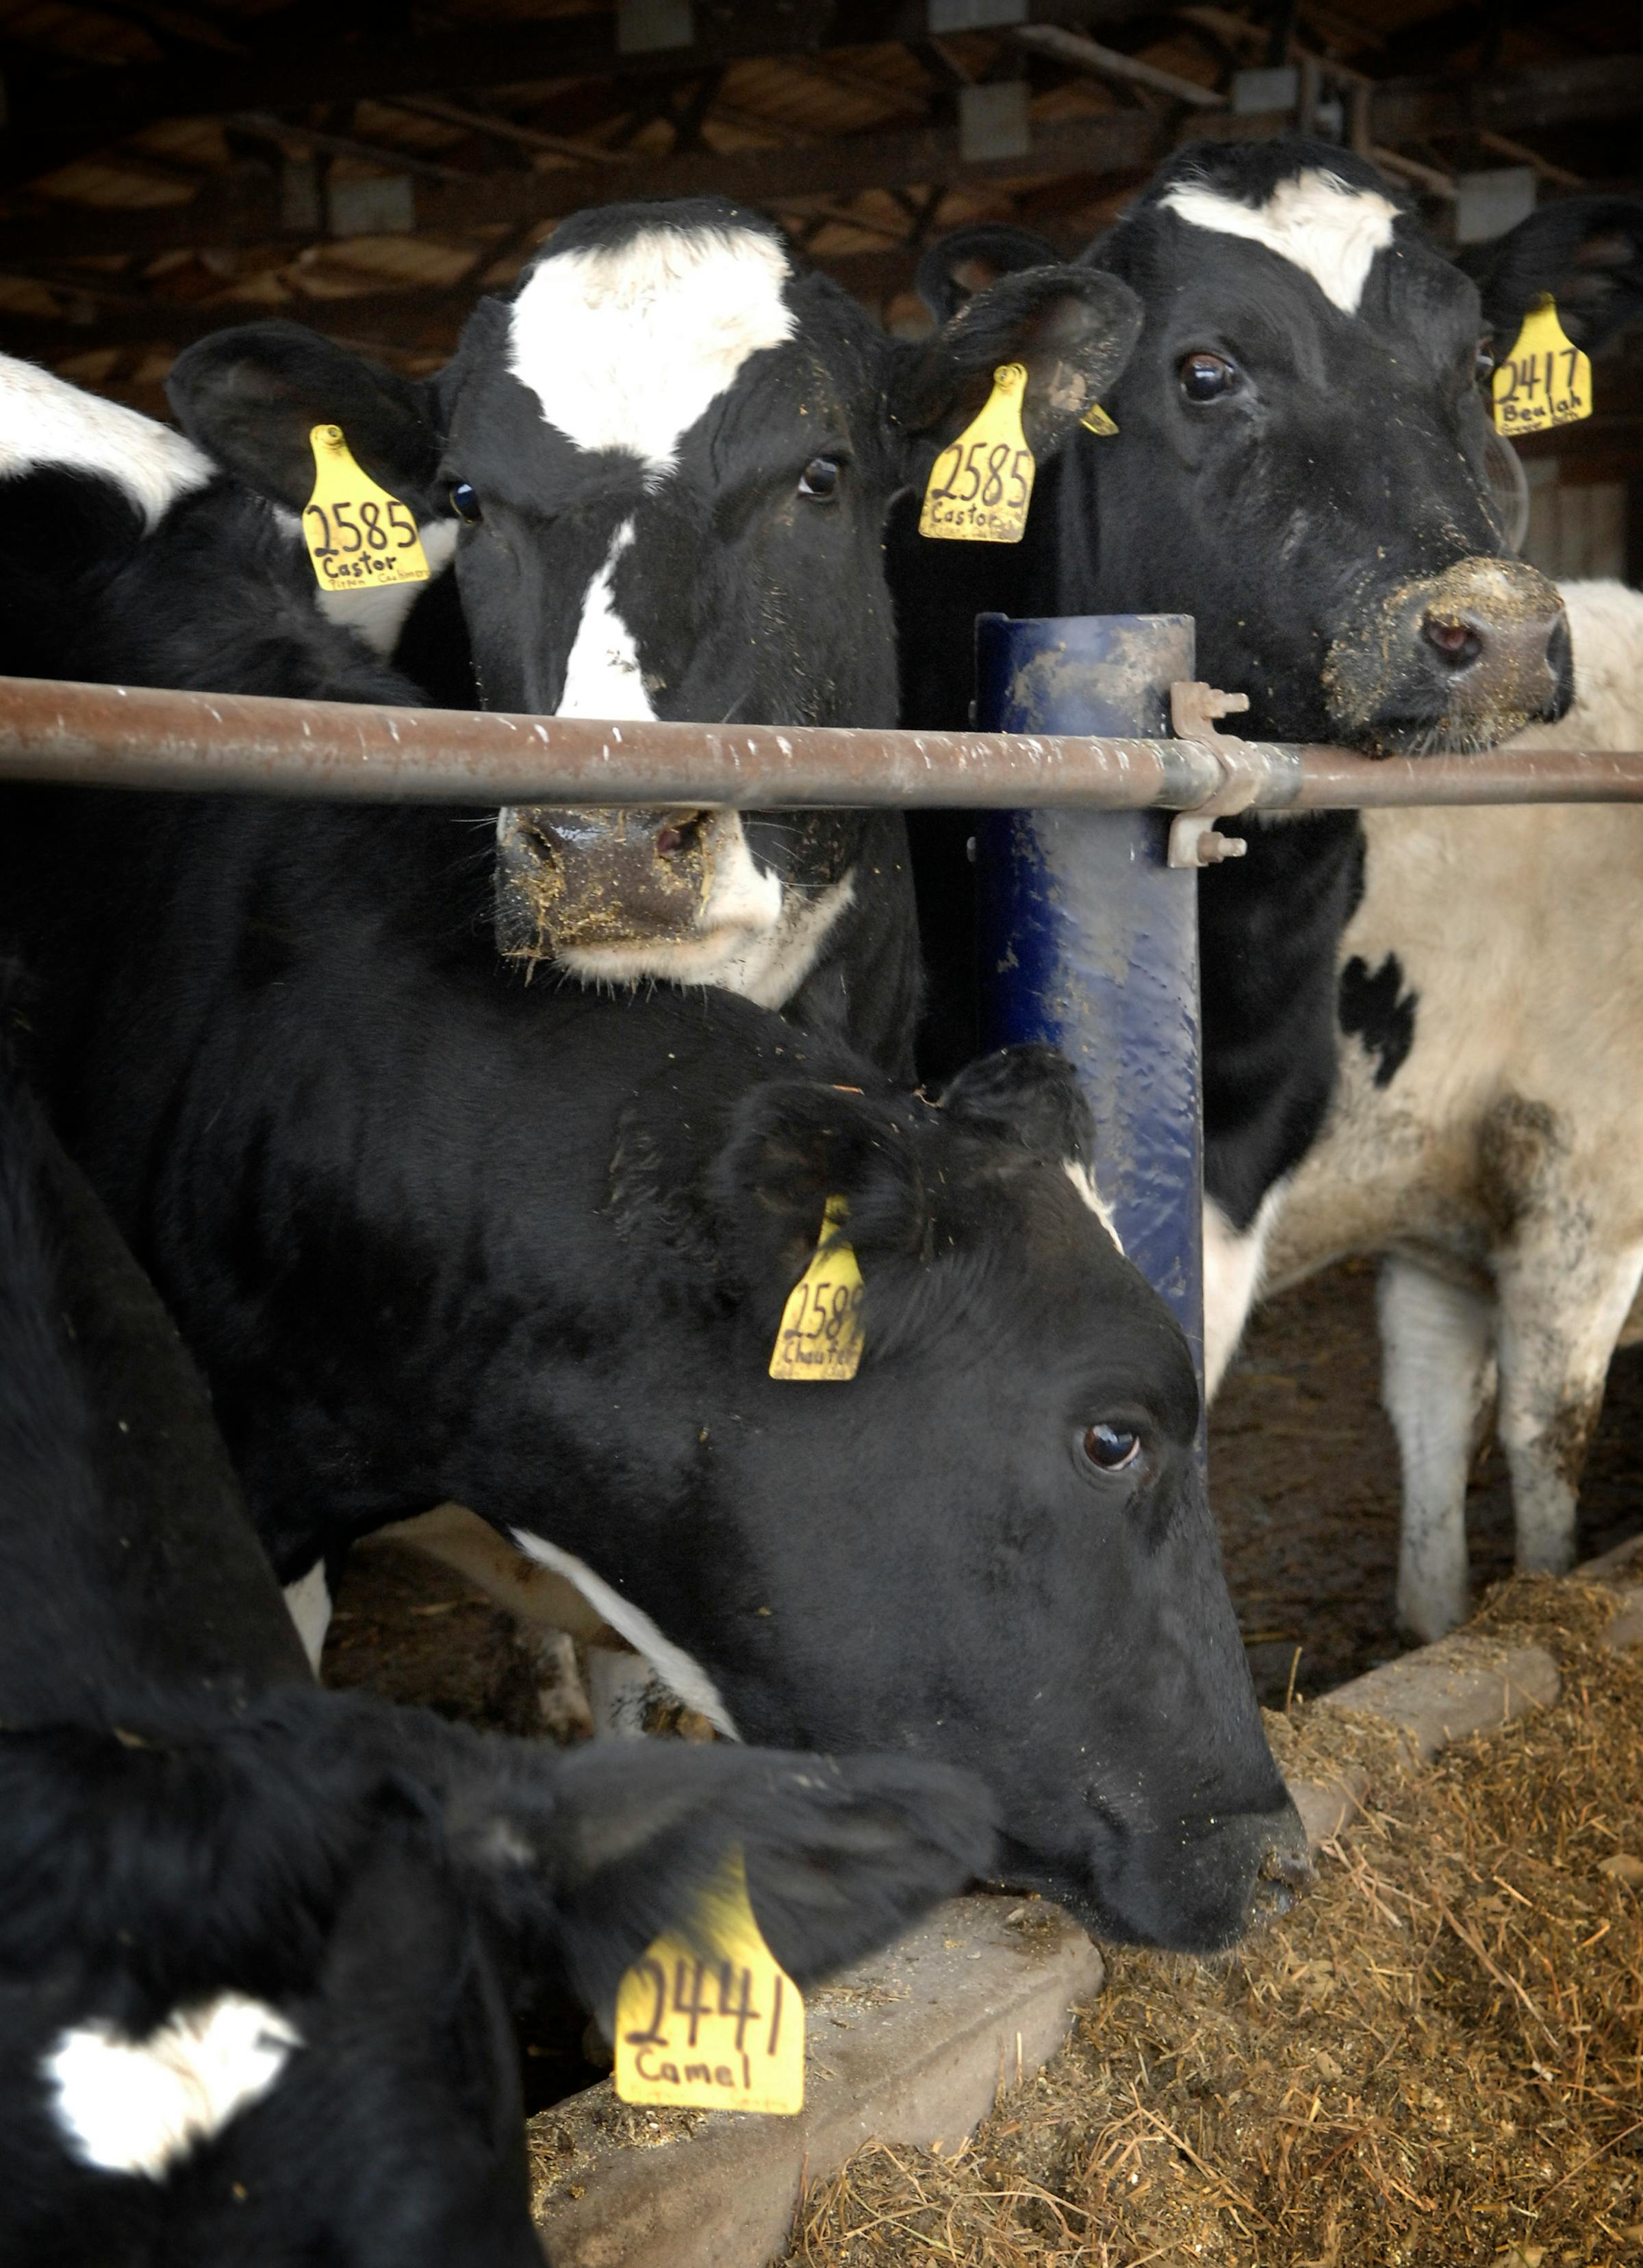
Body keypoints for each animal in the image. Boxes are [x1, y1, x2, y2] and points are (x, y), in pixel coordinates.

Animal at [1257, 578, 1643, 1637]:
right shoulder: (1584, 1186)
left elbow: (1433, 1419)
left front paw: (1436, 1626)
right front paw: (1550, 1591)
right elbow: (1549, 1426)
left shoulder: (1438, 1213)